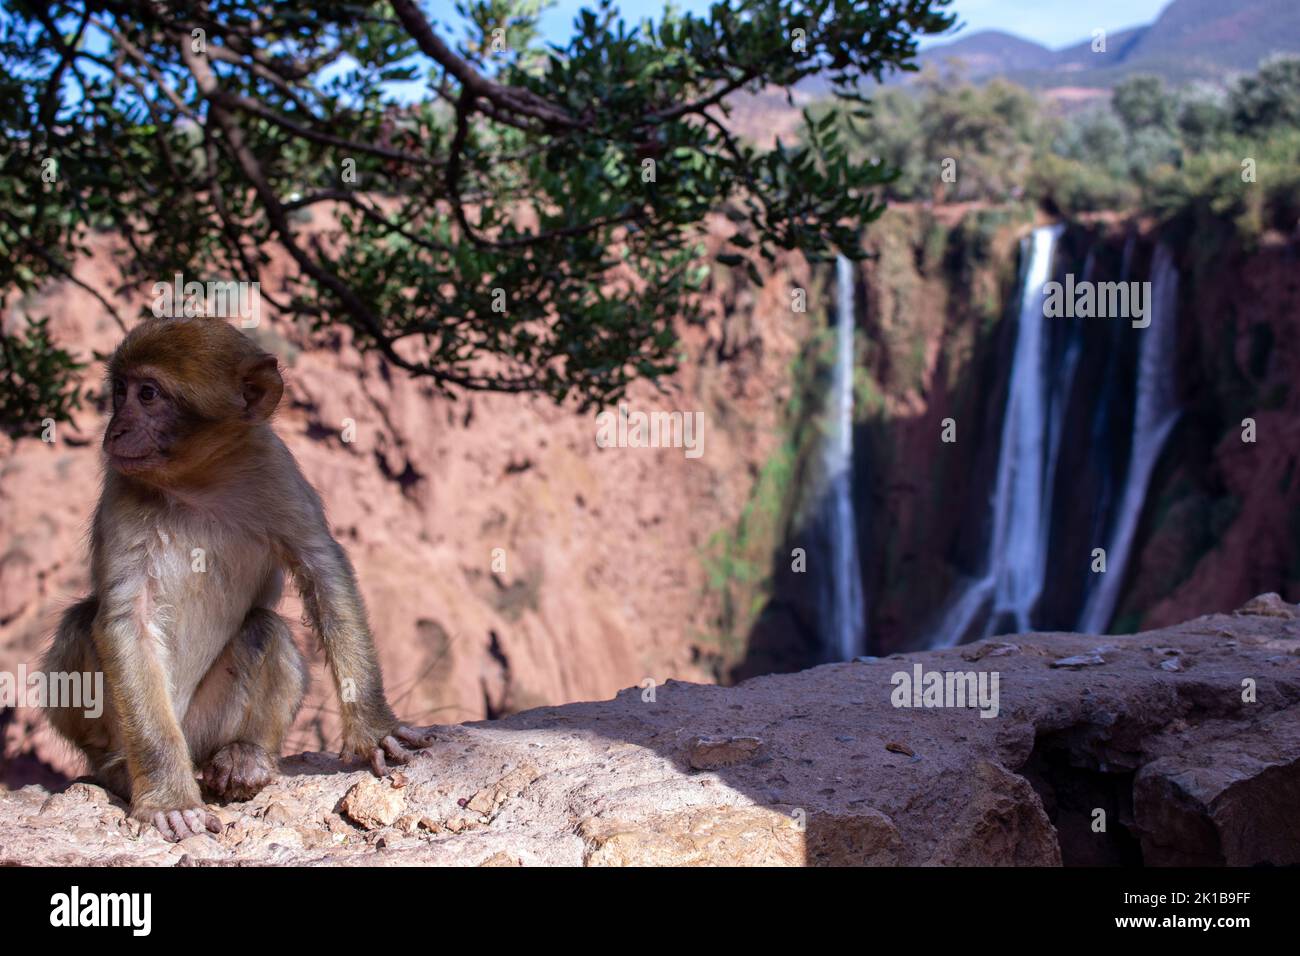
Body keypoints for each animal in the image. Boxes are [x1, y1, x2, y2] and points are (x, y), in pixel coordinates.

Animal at [42, 316, 434, 842]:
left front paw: (373, 726)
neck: (198, 482)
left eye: (148, 394)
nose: (116, 428)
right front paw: (168, 799)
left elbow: (323, 571)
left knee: (265, 627)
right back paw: (122, 769)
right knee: (81, 622)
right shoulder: (122, 489)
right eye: (120, 391)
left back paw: (246, 755)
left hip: (209, 726)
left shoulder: (273, 466)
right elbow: (126, 620)